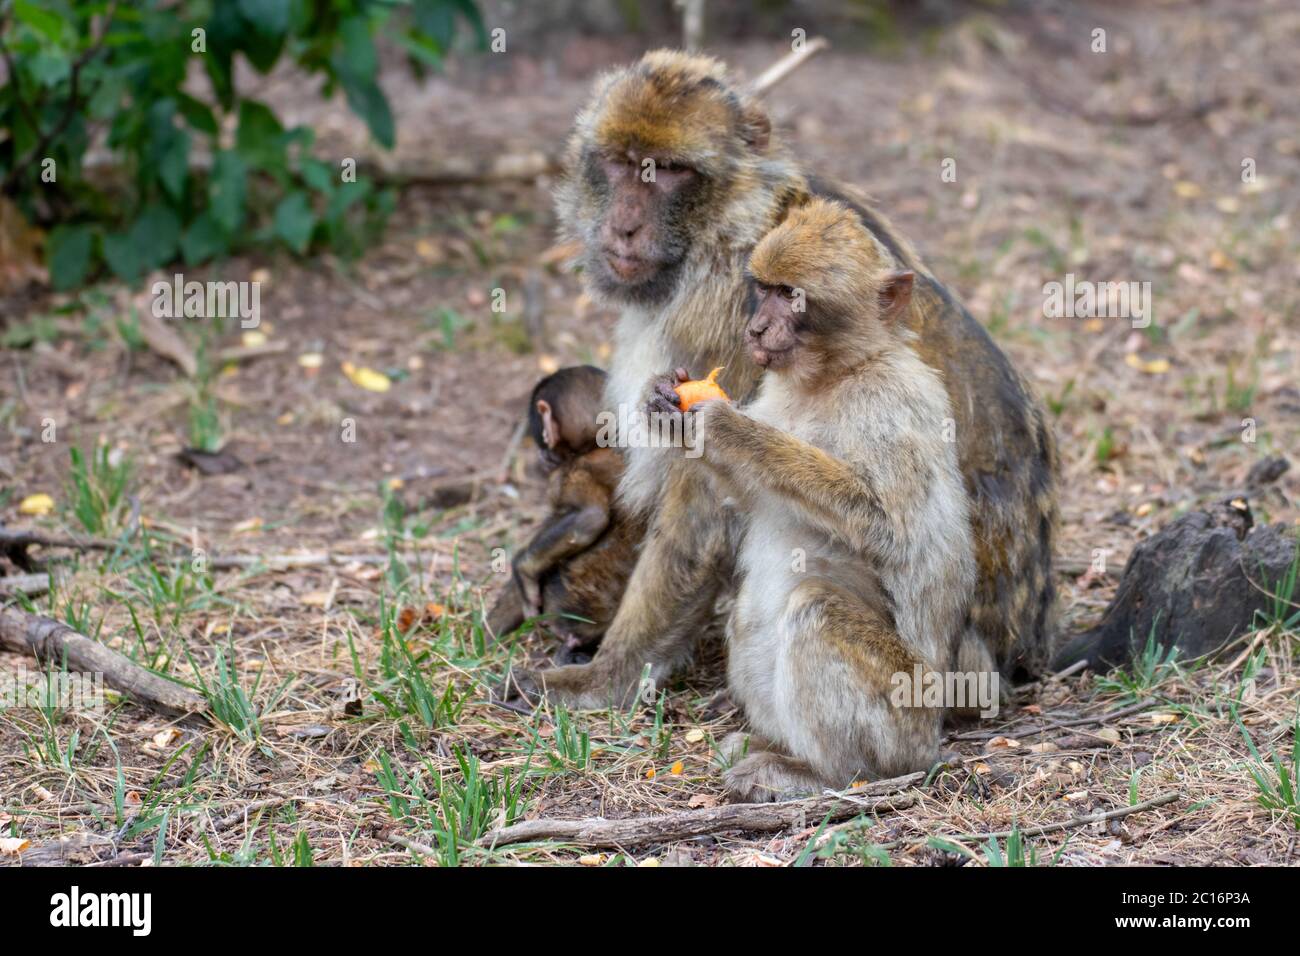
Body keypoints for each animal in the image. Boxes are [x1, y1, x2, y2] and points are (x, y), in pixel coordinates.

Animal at [516, 50, 1057, 710]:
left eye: (668, 172)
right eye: (619, 164)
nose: (622, 226)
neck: (723, 230)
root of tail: (1021, 649)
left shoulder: (726, 316)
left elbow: (702, 505)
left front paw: (609, 674)